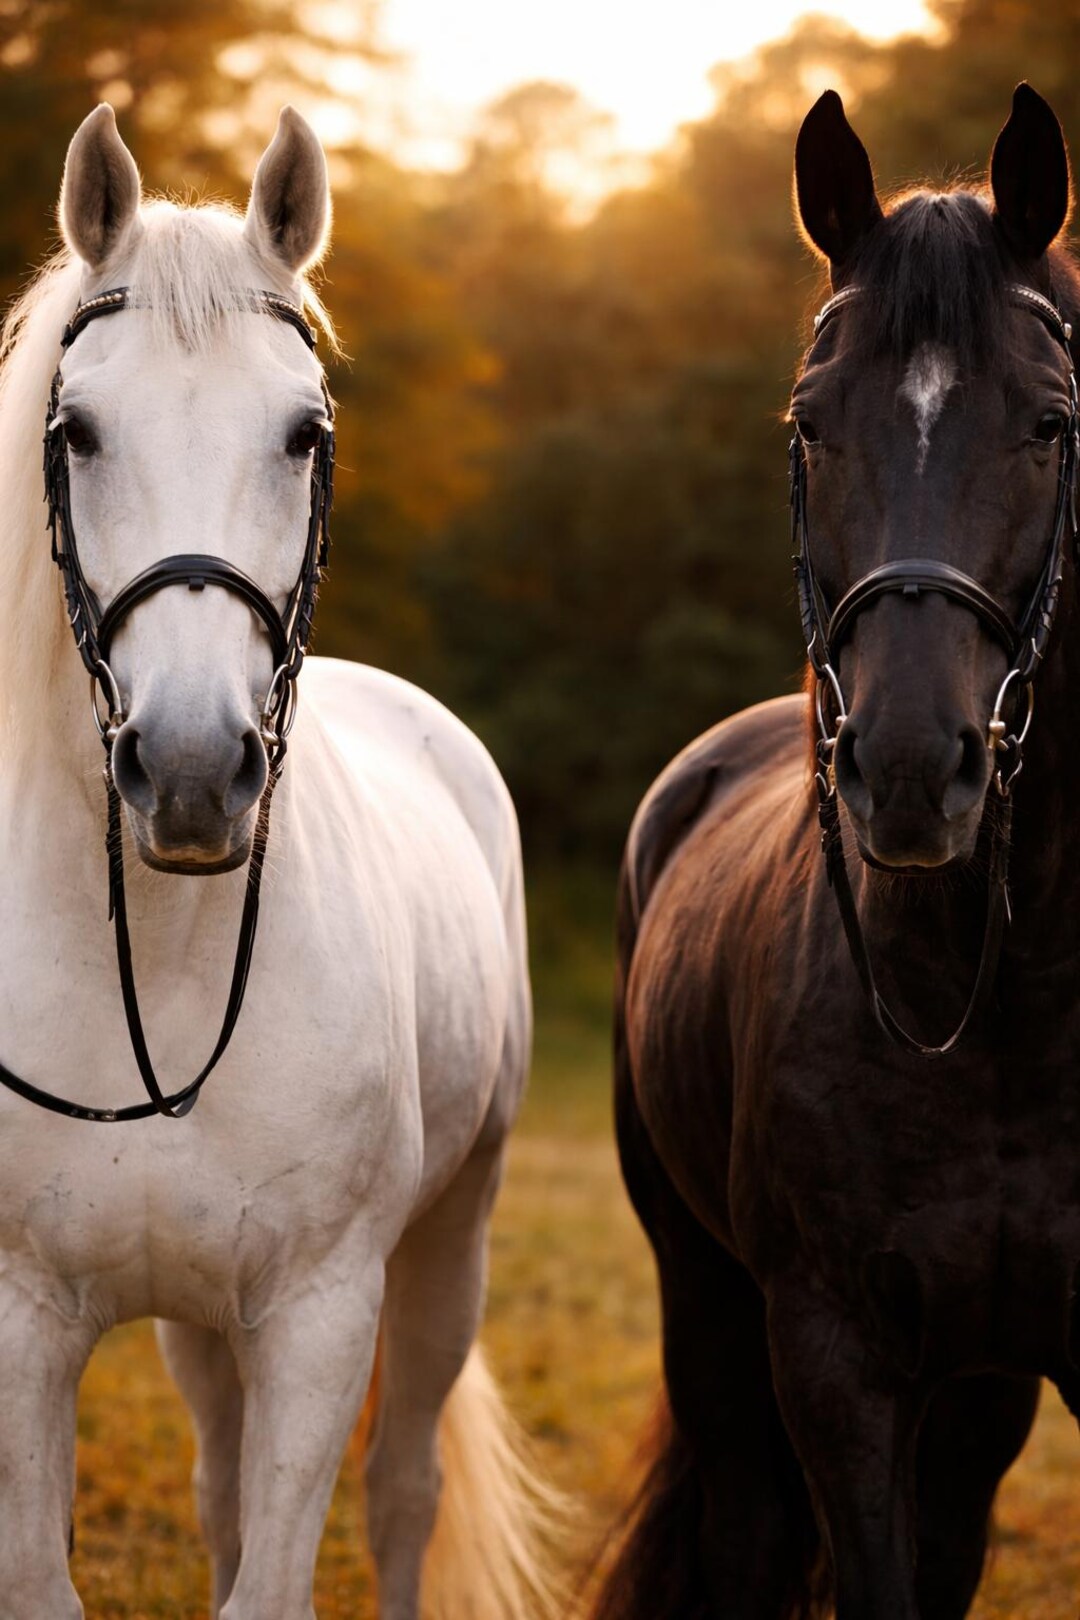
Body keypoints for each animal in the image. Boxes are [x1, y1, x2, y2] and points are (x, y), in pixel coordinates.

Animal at [0, 104, 554, 1620]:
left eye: (304, 434)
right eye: (76, 432)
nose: (194, 771)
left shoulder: (318, 1317)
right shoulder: (23, 1323)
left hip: (451, 1248)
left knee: (405, 1486)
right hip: (205, 1323)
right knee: (224, 1488)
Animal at [591, 83, 1080, 1620]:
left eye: (1050, 423)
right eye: (812, 424)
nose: (914, 771)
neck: (1003, 1000)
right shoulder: (834, 1364)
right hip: (709, 1305)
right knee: (748, 1535)